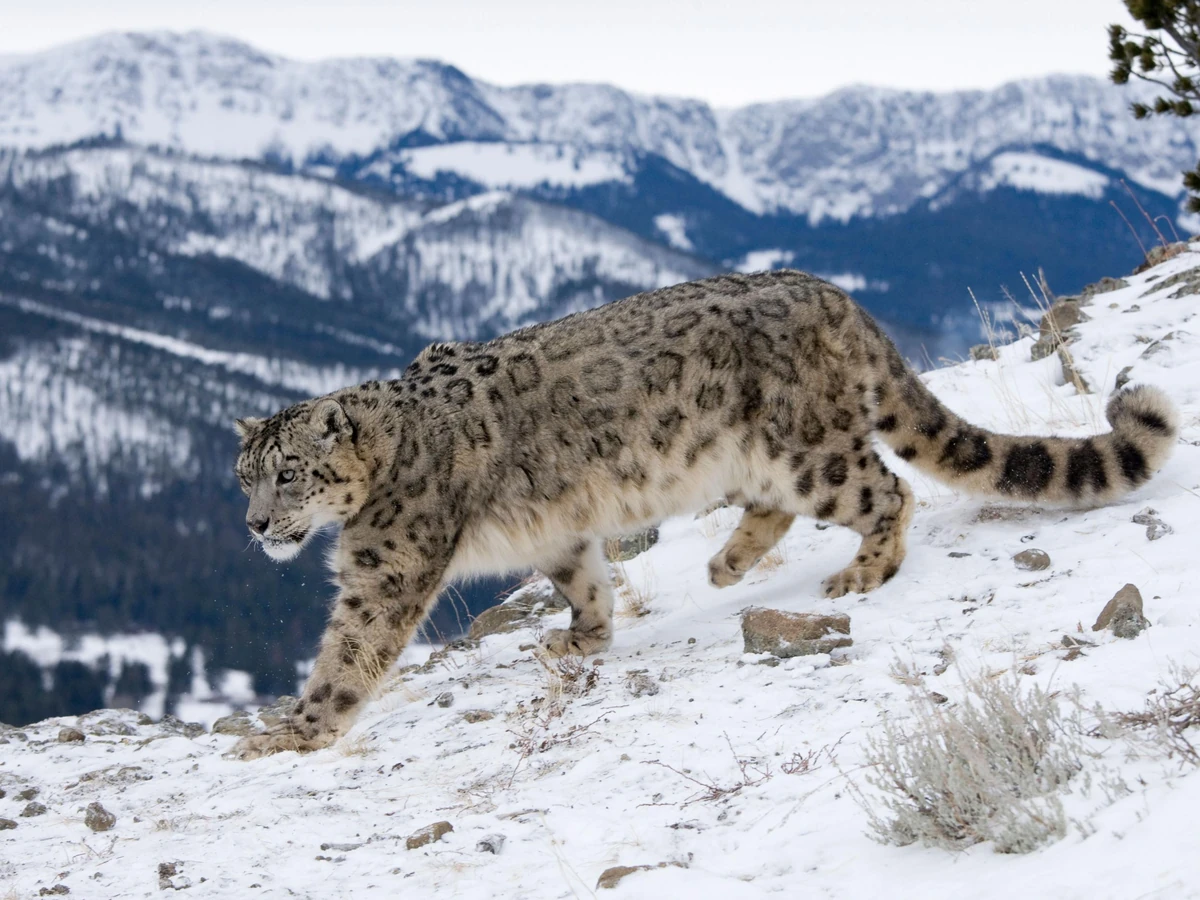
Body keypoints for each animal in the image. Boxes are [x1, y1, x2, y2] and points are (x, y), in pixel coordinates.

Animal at [231, 270, 1177, 759]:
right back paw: (728, 562)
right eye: (243, 478)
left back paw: (860, 570)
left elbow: (350, 646)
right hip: (762, 458)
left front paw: (294, 732)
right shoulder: (560, 531)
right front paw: (581, 639)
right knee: (786, 505)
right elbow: (583, 575)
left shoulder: (387, 563)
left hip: (805, 449)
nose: (254, 526)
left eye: (288, 474)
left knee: (886, 489)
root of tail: (829, 291)